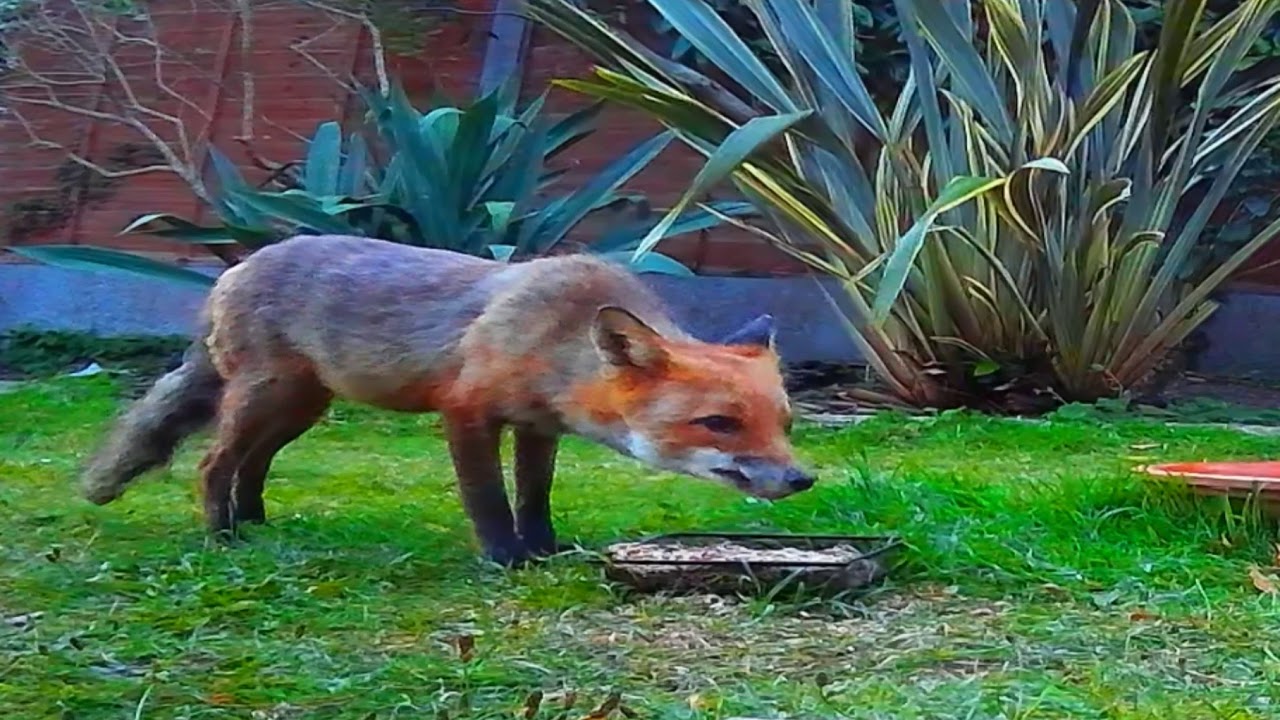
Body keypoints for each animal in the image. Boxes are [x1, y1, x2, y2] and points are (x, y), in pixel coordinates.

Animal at [79, 234, 816, 565]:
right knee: (213, 463)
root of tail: (237, 265)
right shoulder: (466, 412)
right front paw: (506, 559)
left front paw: (543, 550)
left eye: (783, 423)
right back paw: (223, 535)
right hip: (269, 397)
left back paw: (254, 520)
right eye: (719, 423)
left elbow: (534, 495)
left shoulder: (538, 427)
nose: (802, 479)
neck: (556, 340)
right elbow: (487, 497)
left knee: (251, 463)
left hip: (300, 408)